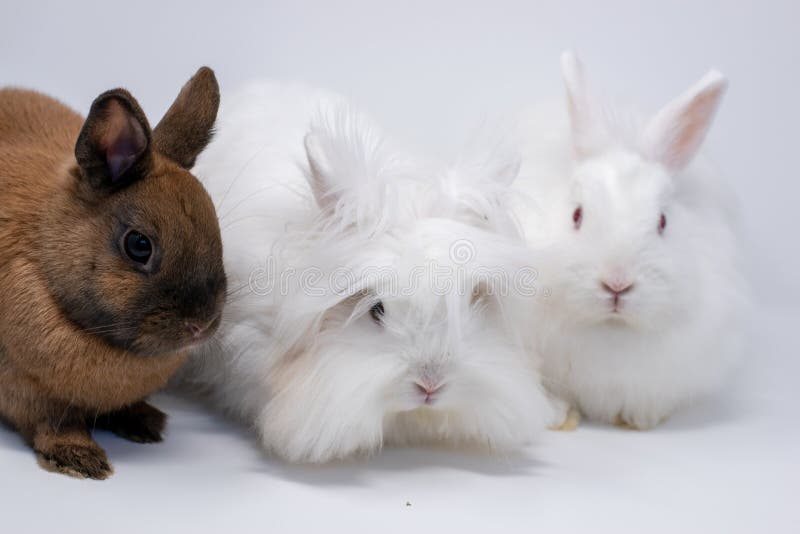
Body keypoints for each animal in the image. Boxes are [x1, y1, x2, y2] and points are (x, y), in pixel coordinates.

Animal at [0, 67, 226, 479]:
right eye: (139, 245)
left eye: (217, 232)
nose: (200, 326)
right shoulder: (29, 393)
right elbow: (57, 424)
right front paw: (81, 459)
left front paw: (146, 423)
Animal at [512, 52, 748, 430]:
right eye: (577, 215)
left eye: (663, 222)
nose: (617, 284)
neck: (610, 329)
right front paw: (559, 417)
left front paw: (640, 419)